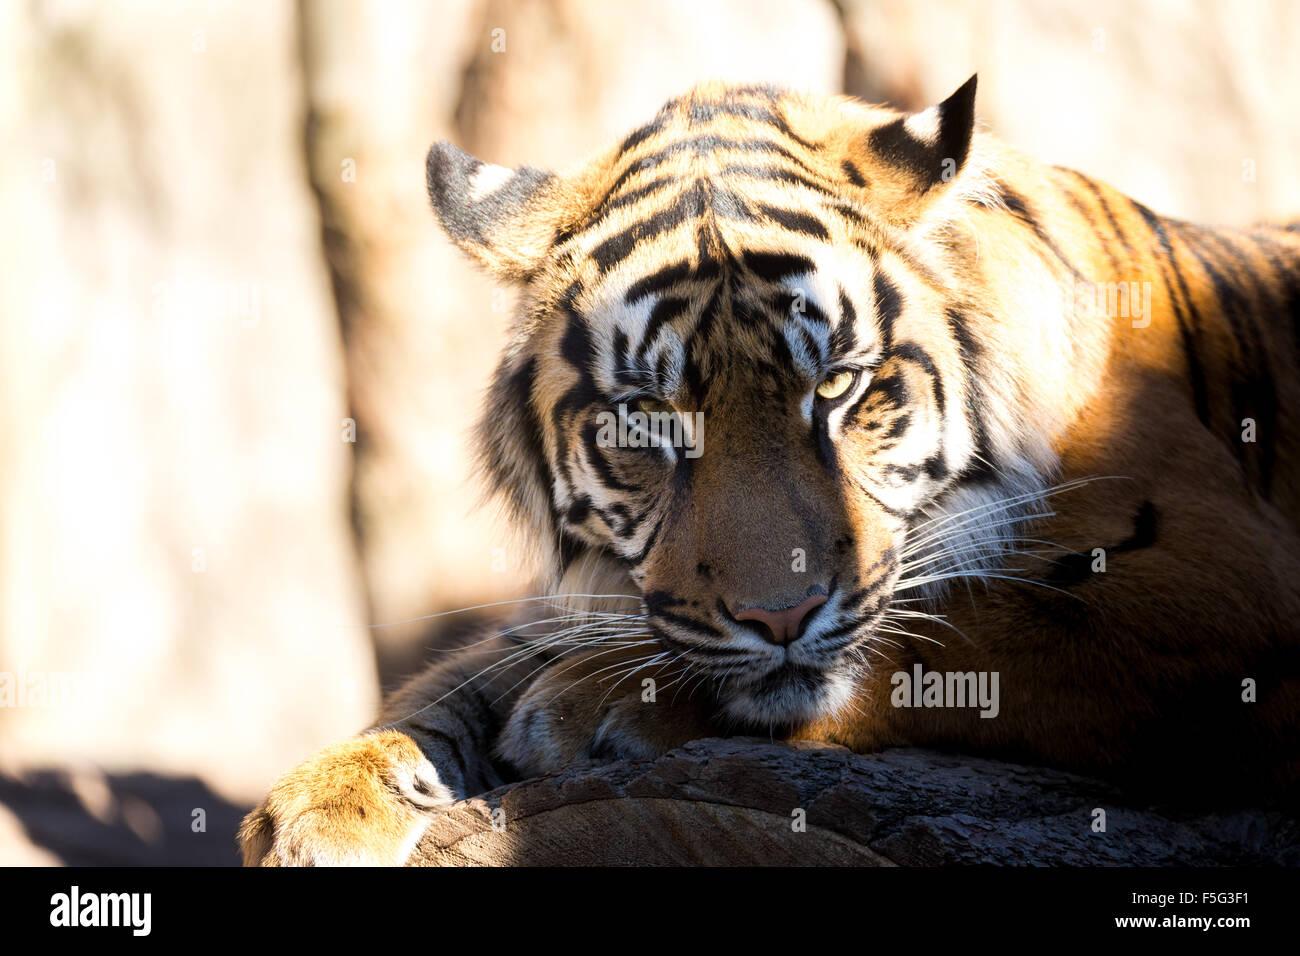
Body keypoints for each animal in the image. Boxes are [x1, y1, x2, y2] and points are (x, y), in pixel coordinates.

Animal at [240, 76, 1300, 865]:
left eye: (836, 385)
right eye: (653, 418)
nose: (780, 617)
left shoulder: (1219, 583)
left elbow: (972, 622)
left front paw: (595, 709)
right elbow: (453, 683)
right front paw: (318, 805)